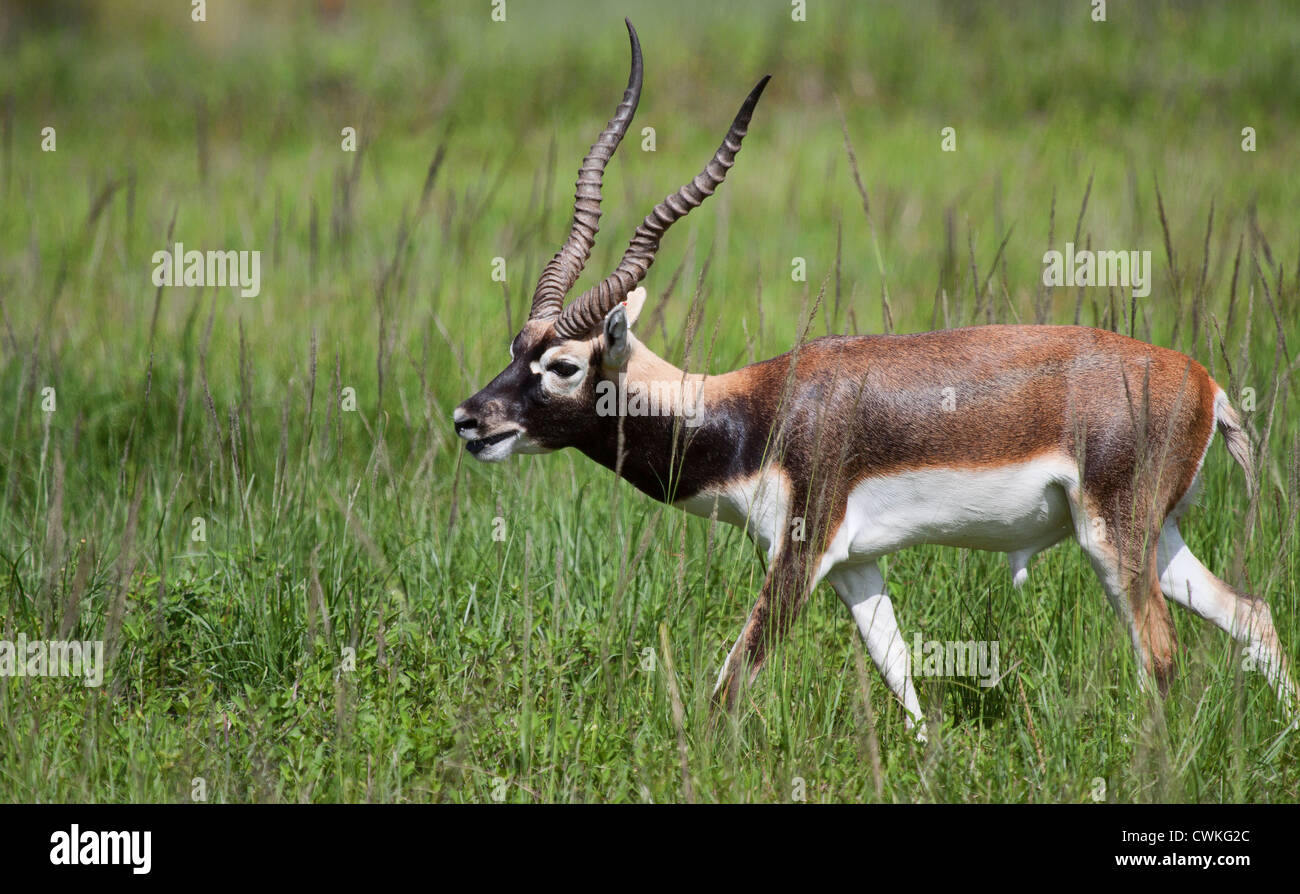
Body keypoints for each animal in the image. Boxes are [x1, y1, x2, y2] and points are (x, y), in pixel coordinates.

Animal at [453, 20, 1296, 738]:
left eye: (564, 365)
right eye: (516, 344)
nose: (471, 419)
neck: (751, 412)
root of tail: (1205, 383)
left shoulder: (801, 553)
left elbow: (731, 683)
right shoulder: (856, 565)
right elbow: (900, 676)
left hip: (1112, 536)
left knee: (1162, 653)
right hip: (1157, 537)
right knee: (1253, 615)